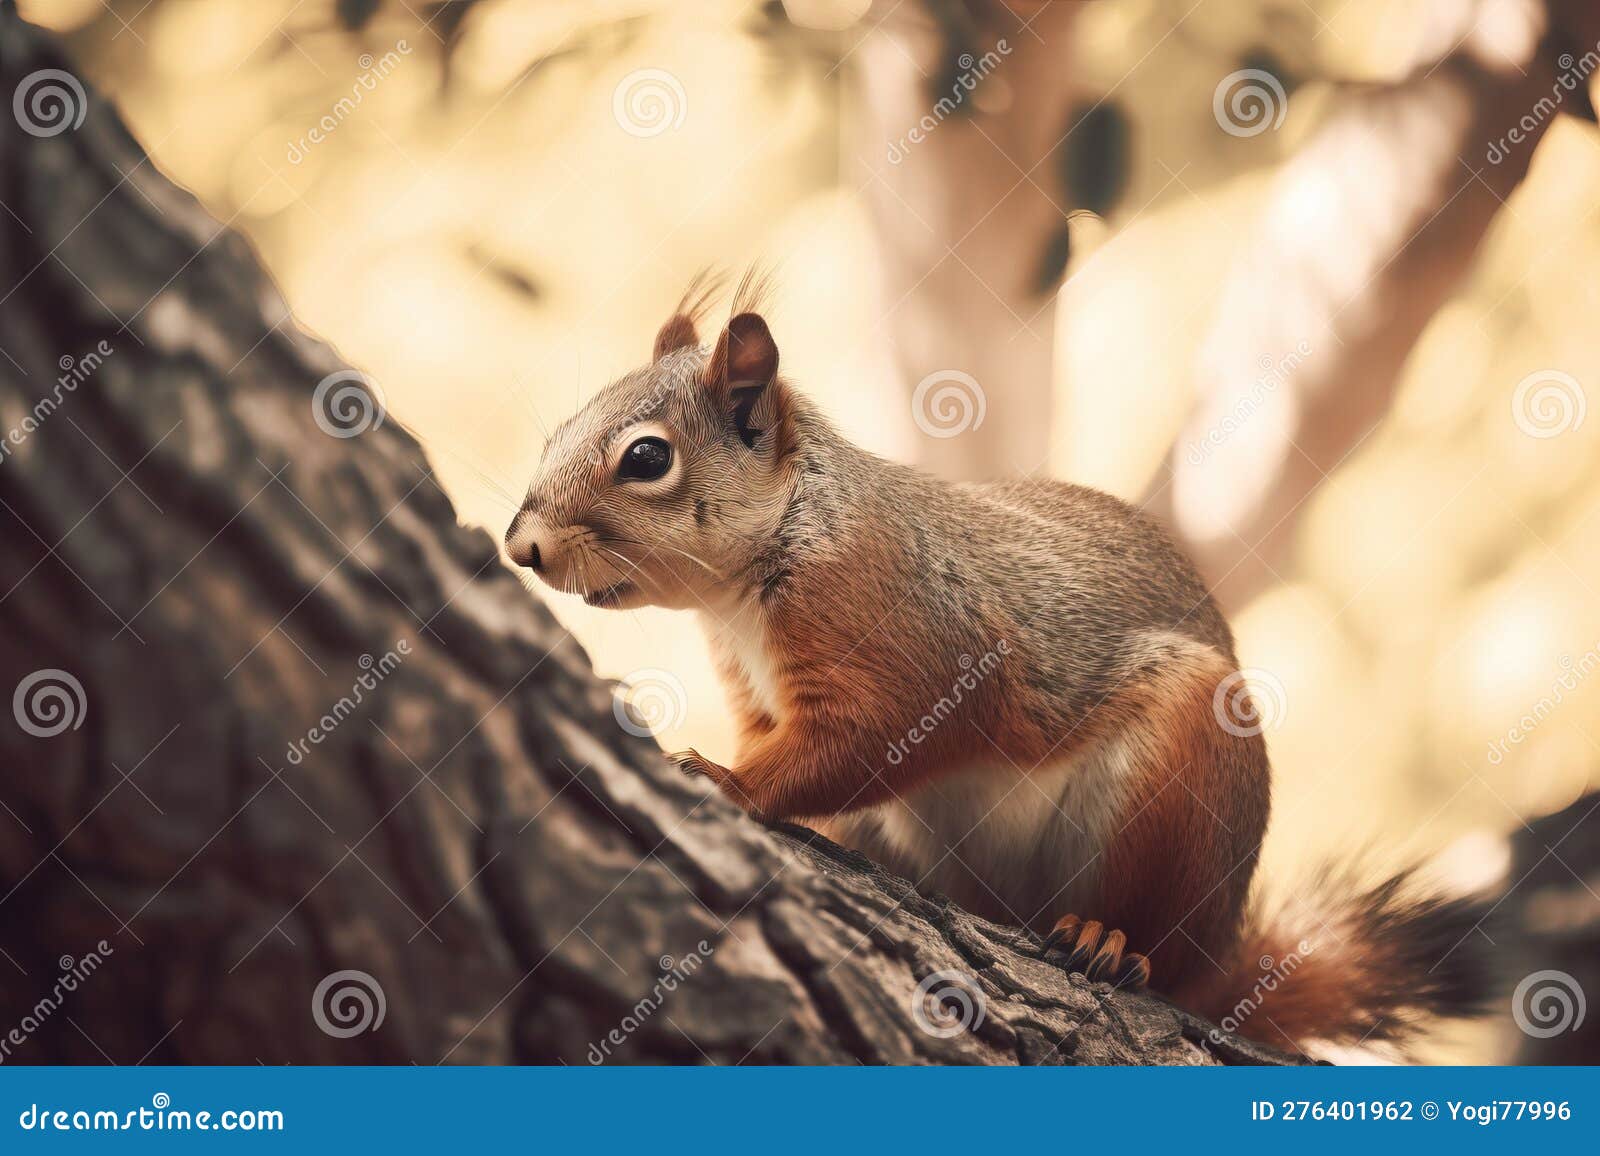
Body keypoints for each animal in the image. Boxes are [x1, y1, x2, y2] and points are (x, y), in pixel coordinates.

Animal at [505, 274, 1497, 1052]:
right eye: (554, 432)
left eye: (645, 457)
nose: (522, 547)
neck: (753, 577)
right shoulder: (759, 690)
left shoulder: (902, 638)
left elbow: (857, 743)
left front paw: (727, 782)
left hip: (1184, 780)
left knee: (1165, 948)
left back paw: (1110, 941)